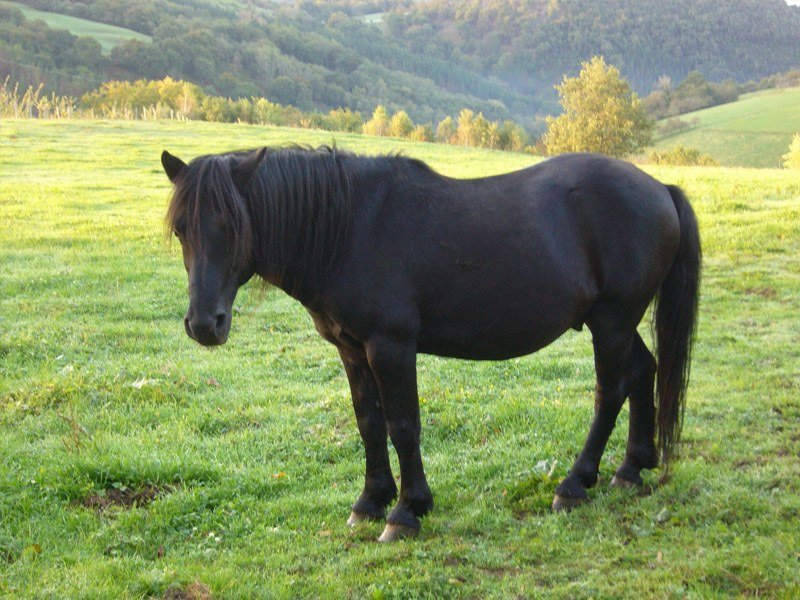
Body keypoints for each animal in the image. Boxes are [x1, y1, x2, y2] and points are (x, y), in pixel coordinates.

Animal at [161, 145, 701, 542]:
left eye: (234, 225)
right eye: (182, 229)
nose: (205, 324)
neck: (350, 227)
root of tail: (660, 188)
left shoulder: (391, 346)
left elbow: (403, 426)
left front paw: (406, 512)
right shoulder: (351, 349)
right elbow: (369, 424)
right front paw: (370, 501)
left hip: (611, 321)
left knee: (610, 393)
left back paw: (575, 484)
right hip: (617, 323)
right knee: (643, 372)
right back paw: (631, 468)